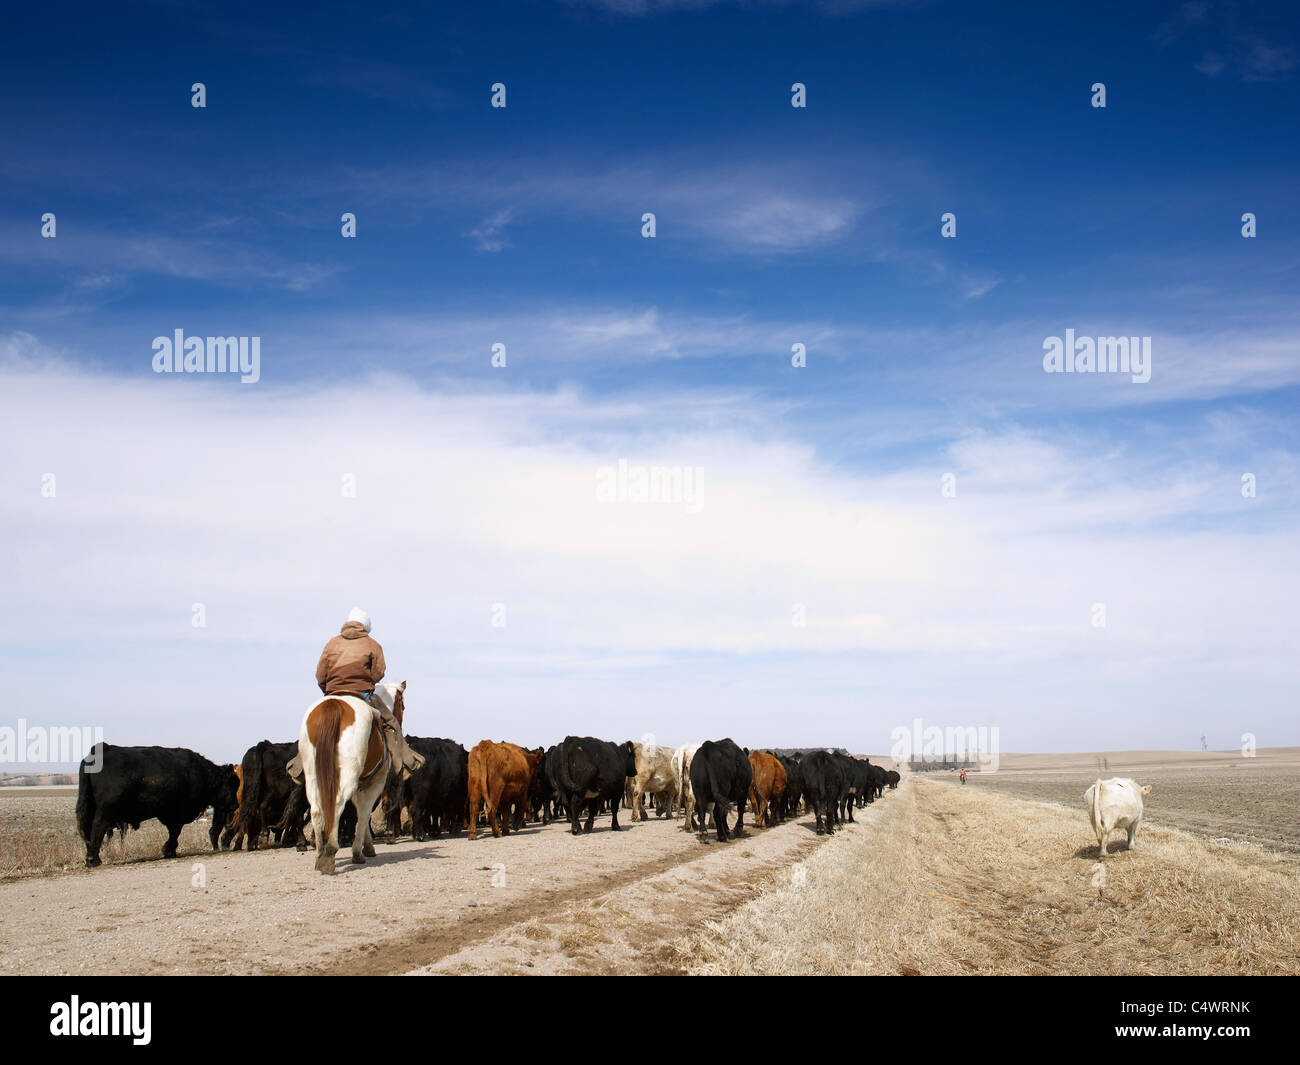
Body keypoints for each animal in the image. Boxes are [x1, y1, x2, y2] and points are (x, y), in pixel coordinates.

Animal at [76, 743, 240, 867]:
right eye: (231, 784)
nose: (236, 805)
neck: (202, 774)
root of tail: (103, 749)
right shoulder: (177, 815)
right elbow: (175, 832)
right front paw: (169, 851)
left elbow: (174, 832)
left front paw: (169, 851)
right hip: (106, 812)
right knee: (98, 828)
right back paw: (93, 860)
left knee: (88, 830)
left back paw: (91, 858)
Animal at [298, 688, 395, 874]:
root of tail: (334, 704)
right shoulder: (374, 785)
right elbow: (364, 814)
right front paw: (359, 852)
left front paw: (367, 847)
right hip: (349, 774)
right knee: (337, 804)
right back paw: (330, 852)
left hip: (312, 772)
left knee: (316, 809)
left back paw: (320, 853)